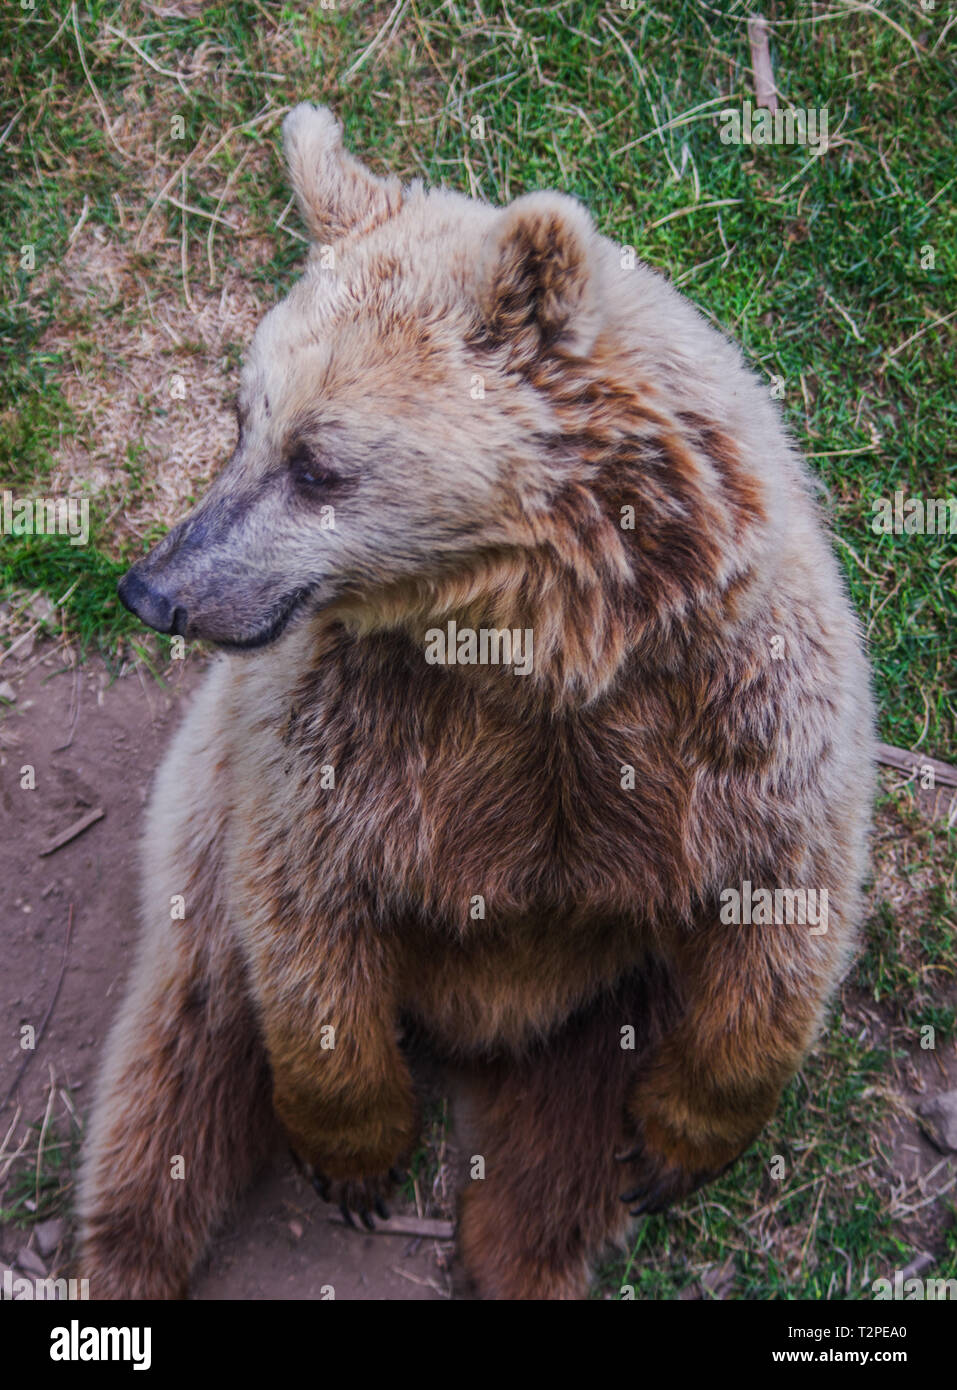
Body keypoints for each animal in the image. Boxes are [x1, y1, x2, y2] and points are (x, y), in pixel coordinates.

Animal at [76, 103, 874, 1301]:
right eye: (239, 419)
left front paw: (678, 1144)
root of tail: (483, 1036)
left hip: (599, 1017)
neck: (539, 644)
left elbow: (782, 909)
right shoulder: (346, 736)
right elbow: (307, 923)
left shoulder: (729, 704)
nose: (156, 587)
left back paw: (521, 1248)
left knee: (553, 1177)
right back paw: (123, 1256)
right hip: (198, 850)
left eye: (317, 463)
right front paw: (357, 1158)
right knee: (178, 1066)